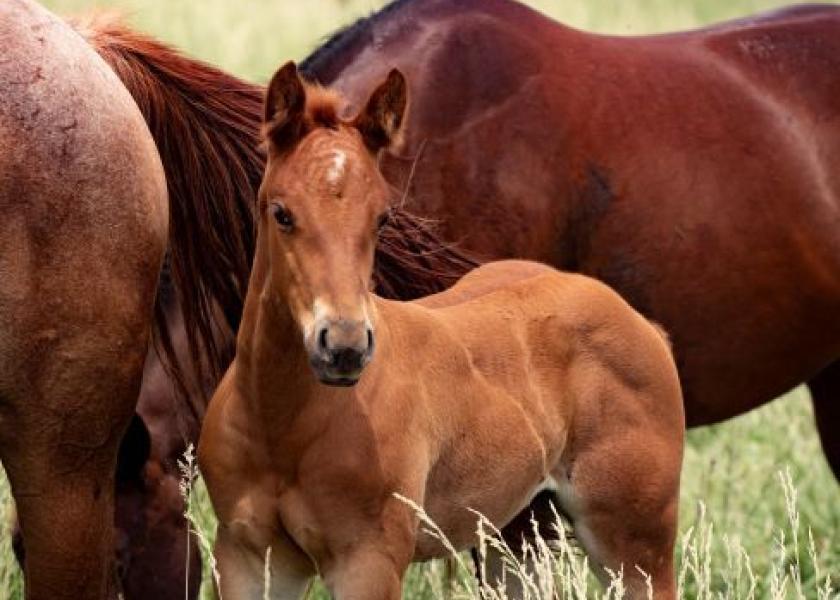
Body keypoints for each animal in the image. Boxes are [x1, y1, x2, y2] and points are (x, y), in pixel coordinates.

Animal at [197, 62, 685, 600]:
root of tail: (642, 325)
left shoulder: (368, 561)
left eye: (382, 218)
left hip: (634, 543)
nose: (344, 348)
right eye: (282, 213)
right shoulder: (249, 557)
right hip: (514, 539)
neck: (281, 425)